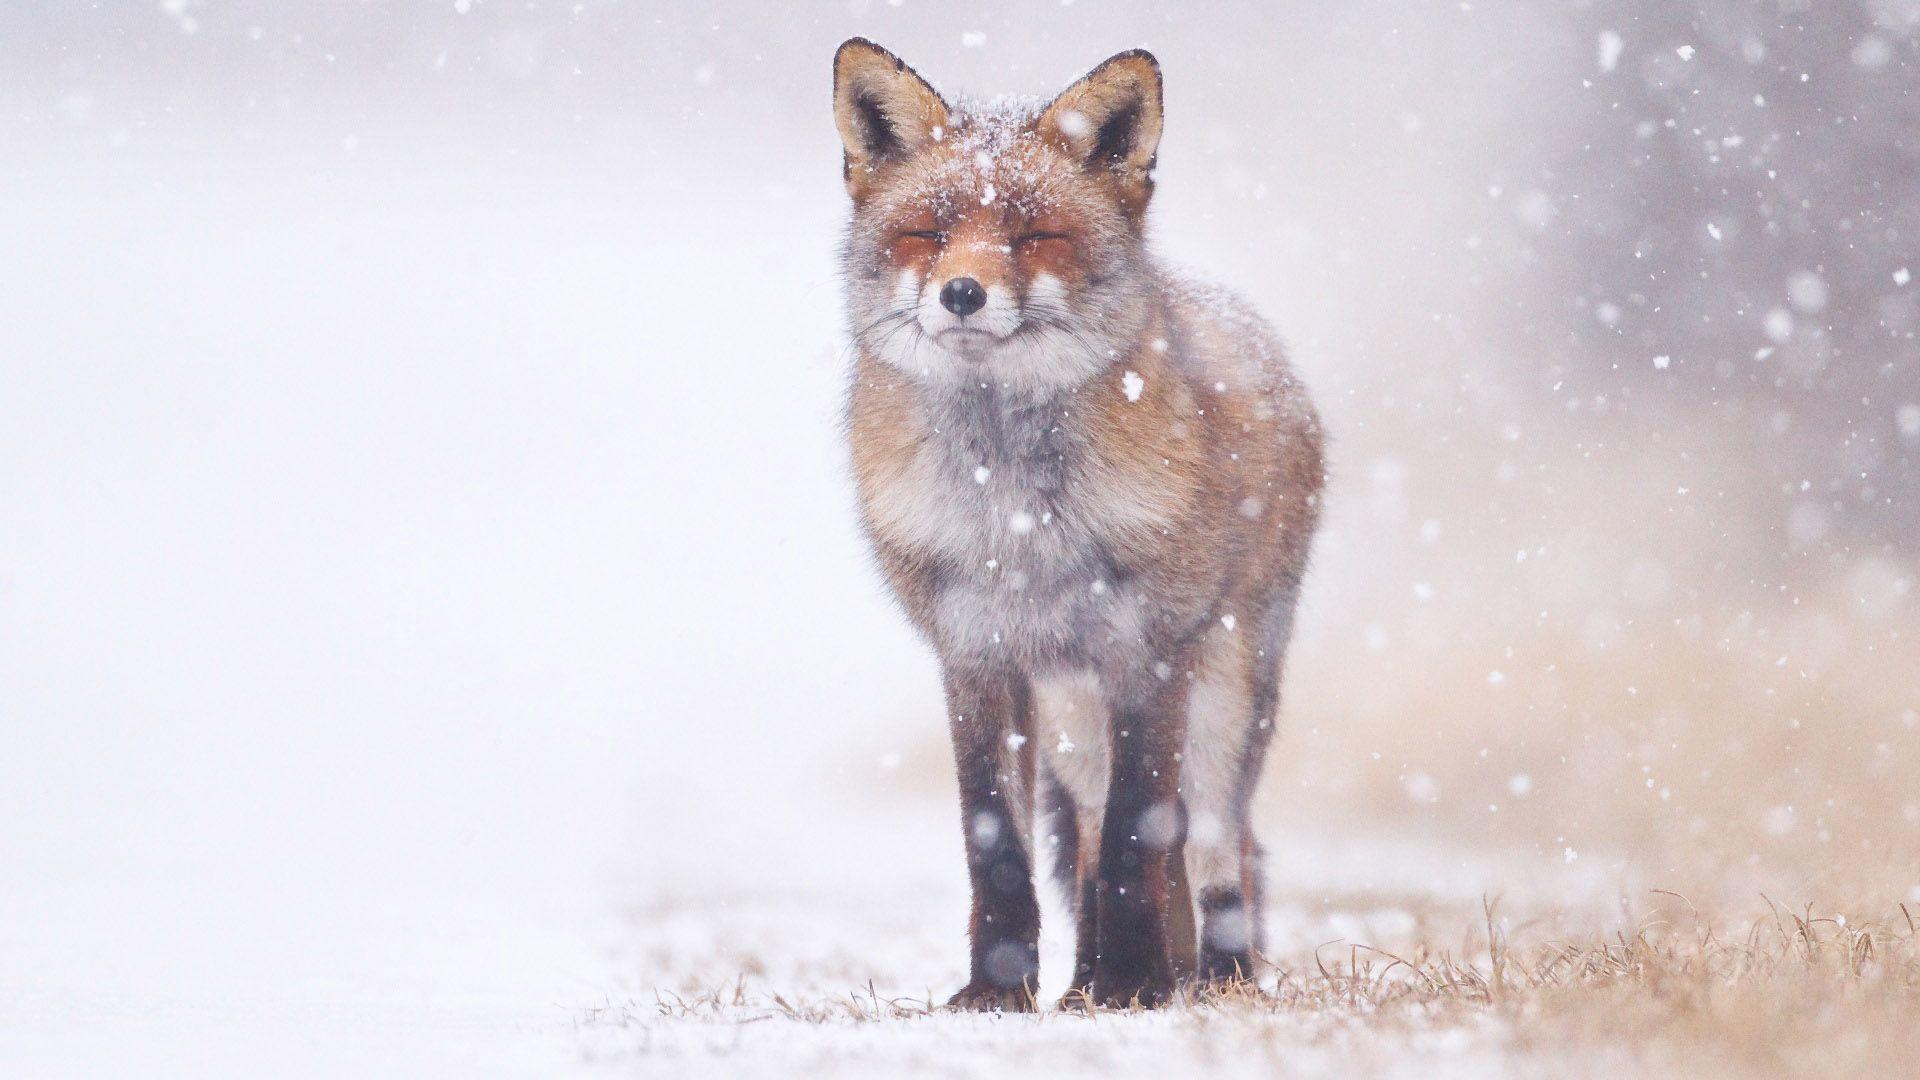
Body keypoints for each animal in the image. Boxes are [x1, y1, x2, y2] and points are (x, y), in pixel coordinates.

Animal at [834, 39, 1325, 1011]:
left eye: (1033, 237)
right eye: (929, 234)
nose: (961, 292)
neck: (1015, 519)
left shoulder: (1147, 652)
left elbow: (1144, 836)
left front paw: (1138, 987)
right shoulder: (975, 657)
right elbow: (999, 844)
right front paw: (999, 993)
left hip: (1224, 694)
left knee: (1216, 847)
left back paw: (1209, 979)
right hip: (1070, 716)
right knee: (1094, 836)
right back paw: (1086, 981)